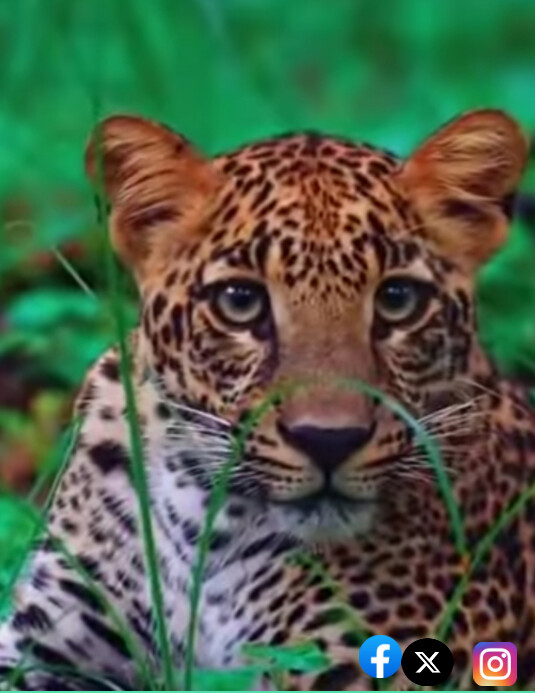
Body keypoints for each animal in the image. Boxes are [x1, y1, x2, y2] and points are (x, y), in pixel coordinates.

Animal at [1, 108, 535, 690]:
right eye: (240, 301)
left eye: (398, 299)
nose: (329, 441)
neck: (207, 525)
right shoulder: (49, 641)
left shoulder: (358, 663)